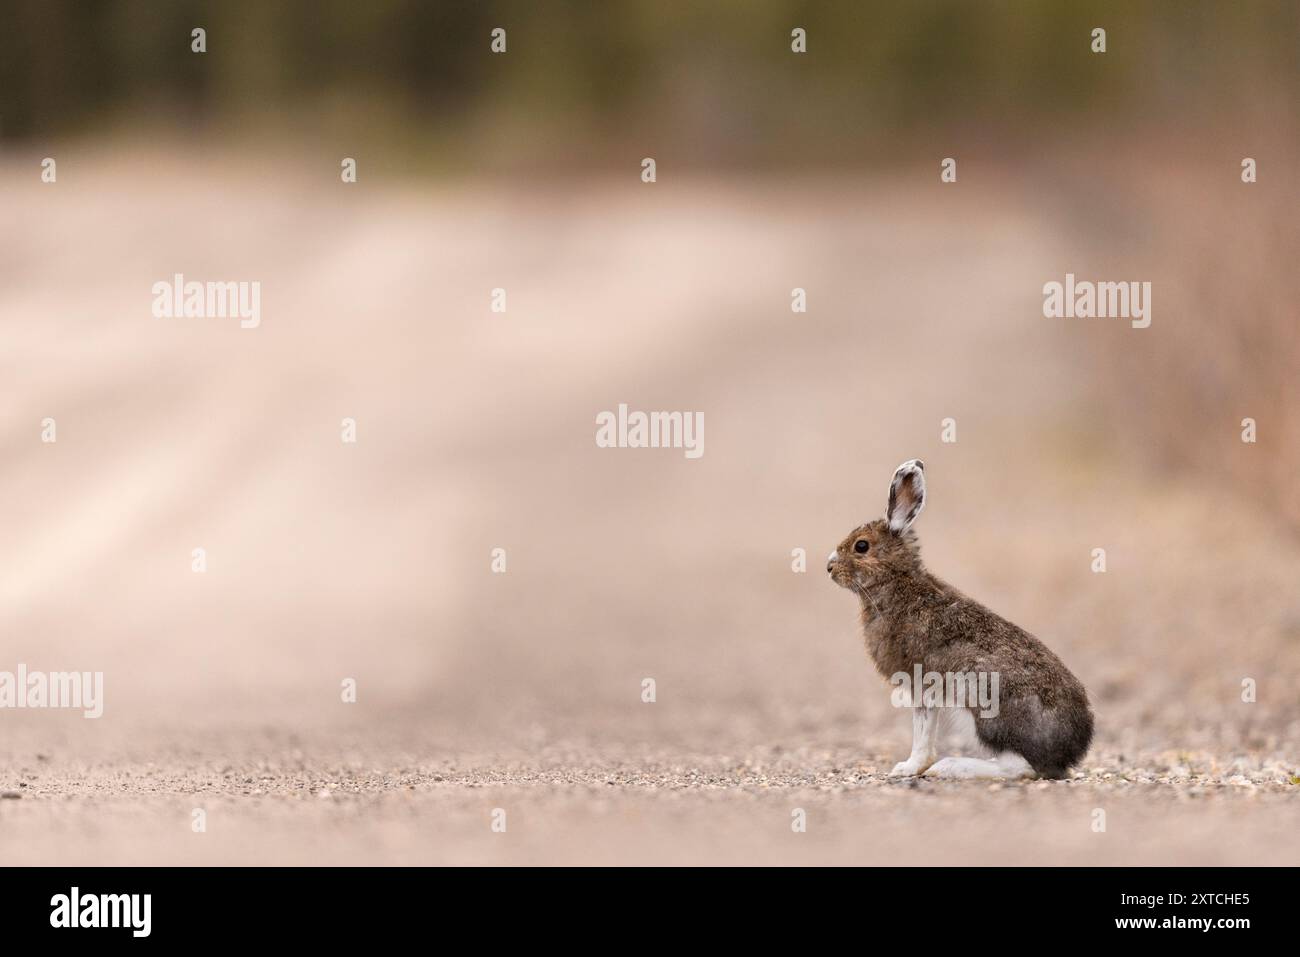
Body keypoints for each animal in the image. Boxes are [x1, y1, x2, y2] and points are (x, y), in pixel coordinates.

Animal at [827, 459, 1093, 779]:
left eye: (861, 546)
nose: (829, 567)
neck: (897, 580)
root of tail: (1069, 750)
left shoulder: (921, 680)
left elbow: (922, 730)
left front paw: (908, 767)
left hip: (979, 698)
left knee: (1019, 767)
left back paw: (950, 766)